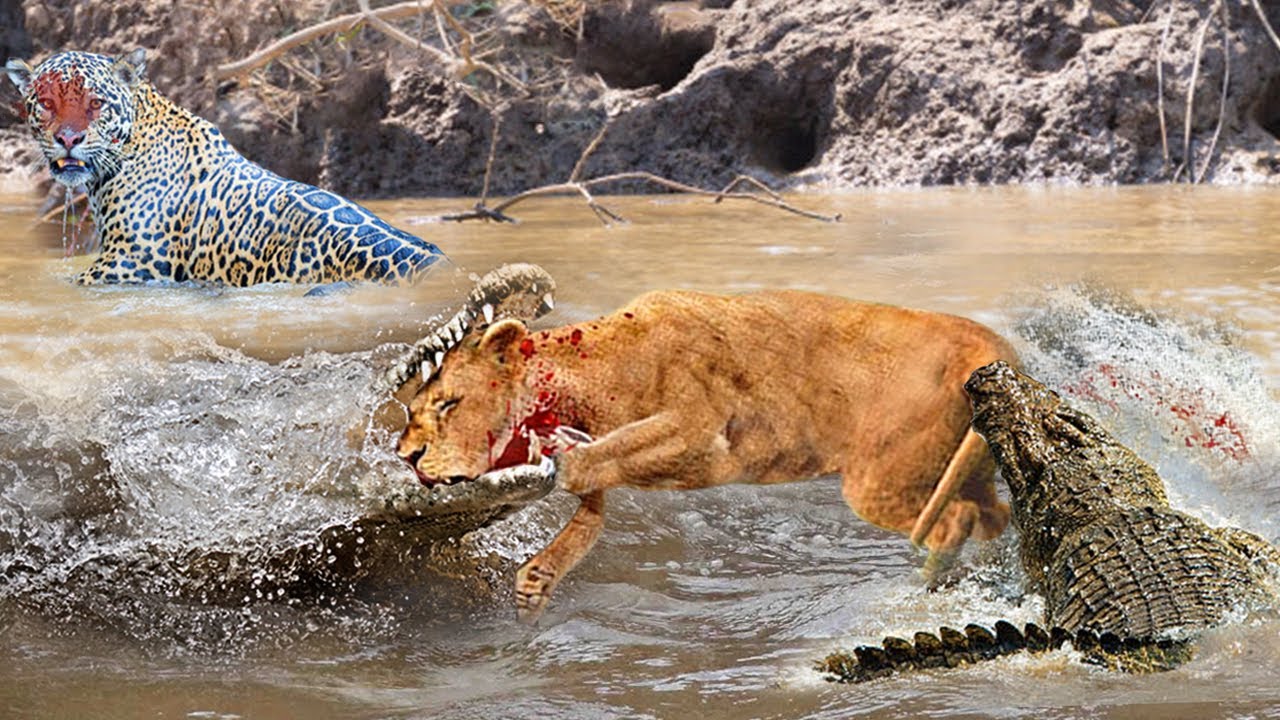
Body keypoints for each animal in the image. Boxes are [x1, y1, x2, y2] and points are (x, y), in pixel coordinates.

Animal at [395, 287, 1019, 622]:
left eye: (449, 403)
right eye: (414, 407)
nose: (407, 455)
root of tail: (990, 343)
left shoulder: (702, 435)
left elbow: (599, 460)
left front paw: (561, 467)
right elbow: (585, 522)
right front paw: (534, 589)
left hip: (877, 480)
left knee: (952, 520)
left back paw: (924, 587)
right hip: (966, 466)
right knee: (995, 513)